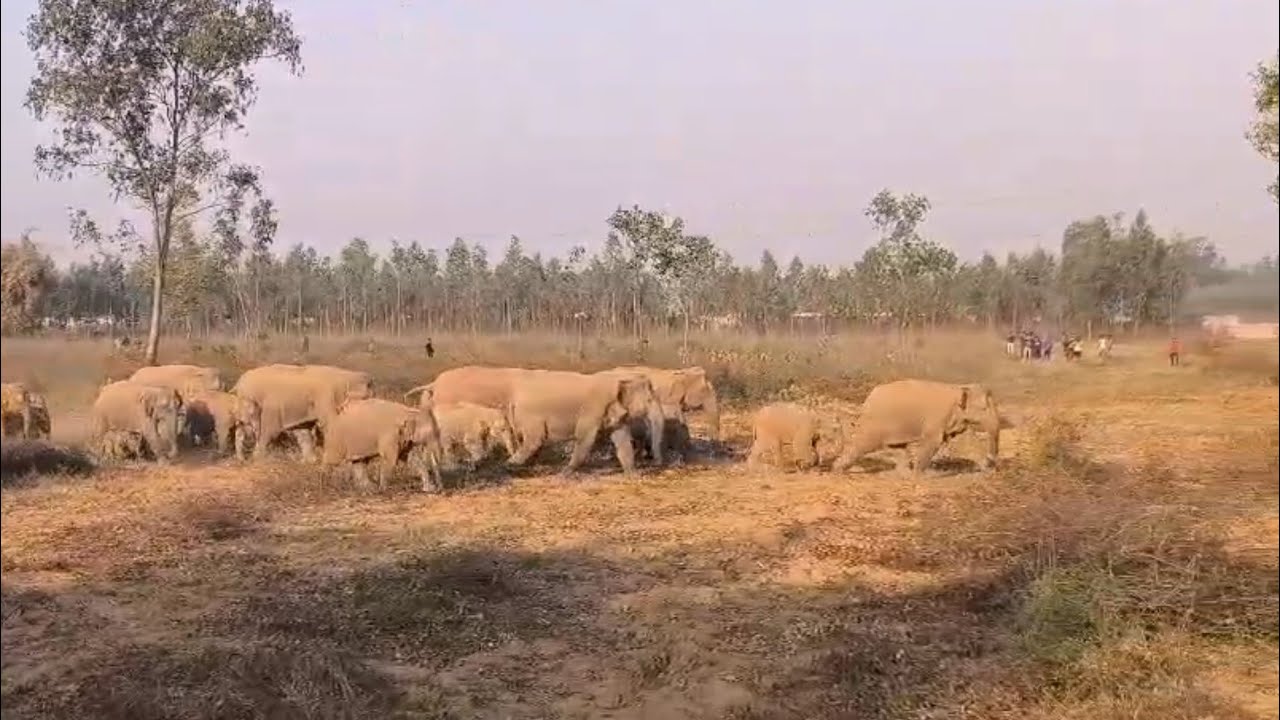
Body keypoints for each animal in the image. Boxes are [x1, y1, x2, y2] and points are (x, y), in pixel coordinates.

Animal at [232, 364, 374, 461]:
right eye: (365, 398)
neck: (347, 376)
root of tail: (238, 384)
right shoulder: (325, 398)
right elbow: (329, 423)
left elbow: (304, 429)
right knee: (261, 430)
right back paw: (254, 457)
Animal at [506, 370, 665, 476]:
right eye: (649, 400)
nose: (656, 464)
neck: (620, 380)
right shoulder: (592, 409)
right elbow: (584, 438)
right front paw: (565, 472)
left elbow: (623, 441)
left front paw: (633, 475)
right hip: (531, 417)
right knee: (535, 441)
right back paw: (510, 464)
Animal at [831, 379, 1001, 476]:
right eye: (984, 408)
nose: (992, 463)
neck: (960, 388)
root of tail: (867, 401)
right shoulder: (936, 416)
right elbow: (933, 441)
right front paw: (920, 476)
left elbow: (965, 441)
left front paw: (987, 471)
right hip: (875, 424)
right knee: (862, 445)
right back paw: (837, 470)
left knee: (897, 447)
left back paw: (903, 473)